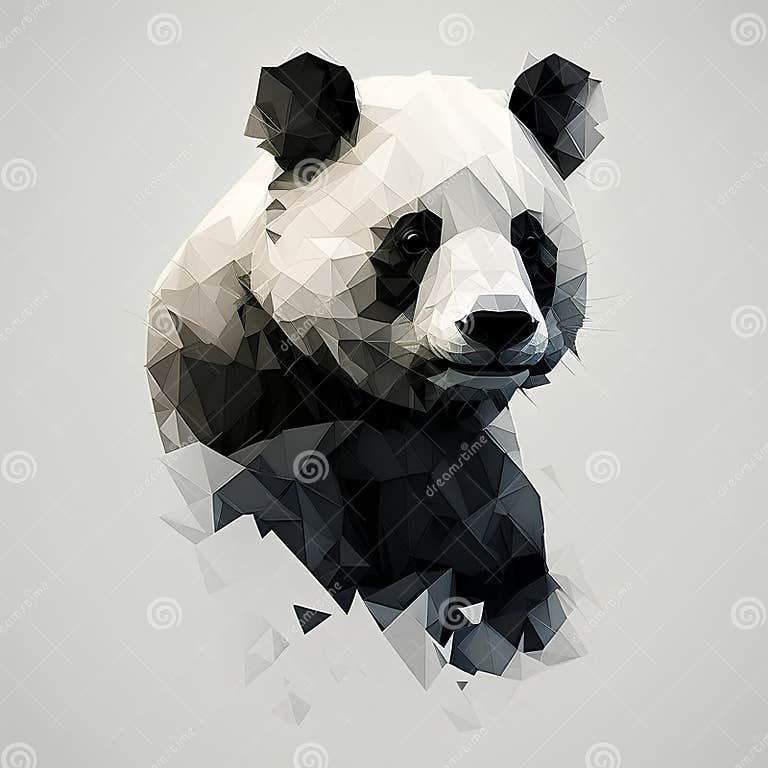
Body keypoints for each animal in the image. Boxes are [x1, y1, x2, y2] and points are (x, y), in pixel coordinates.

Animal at [146, 52, 606, 678]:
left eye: (531, 241)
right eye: (414, 238)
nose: (498, 324)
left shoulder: (462, 457)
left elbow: (506, 559)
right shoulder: (238, 397)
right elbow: (293, 546)